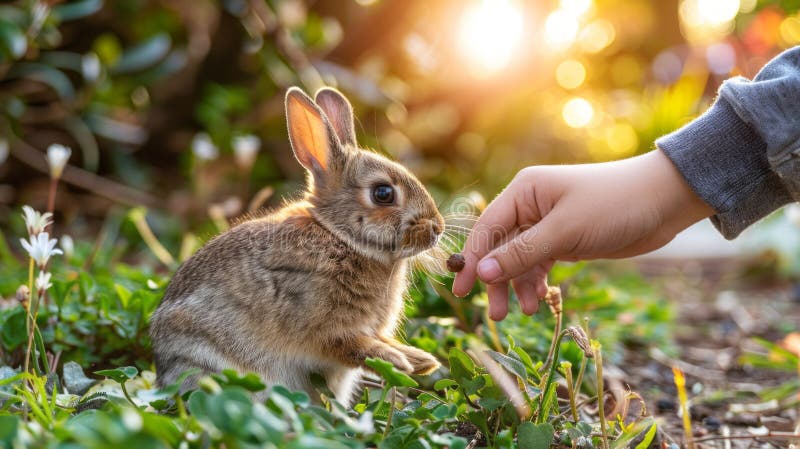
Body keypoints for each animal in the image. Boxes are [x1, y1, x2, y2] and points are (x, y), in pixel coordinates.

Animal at [150, 86, 443, 406]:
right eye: (383, 193)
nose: (437, 228)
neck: (339, 236)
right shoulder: (323, 324)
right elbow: (352, 346)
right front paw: (399, 361)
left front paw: (421, 360)